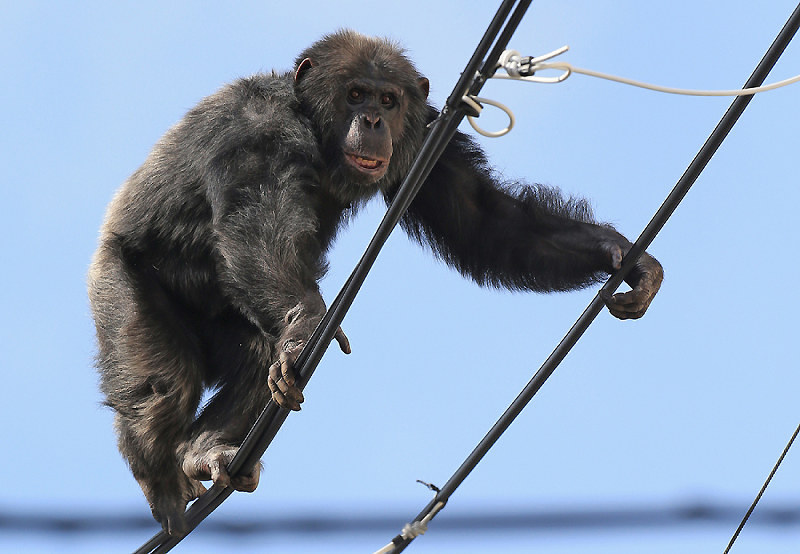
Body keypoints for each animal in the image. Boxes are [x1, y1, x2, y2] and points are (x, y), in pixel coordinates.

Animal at [89, 29, 662, 535]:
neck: (312, 125)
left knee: (253, 356)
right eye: (355, 94)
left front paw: (622, 256)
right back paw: (164, 482)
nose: (372, 118)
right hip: (119, 284)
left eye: (389, 98)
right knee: (162, 385)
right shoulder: (257, 131)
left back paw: (202, 451)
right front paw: (305, 327)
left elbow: (483, 220)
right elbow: (256, 223)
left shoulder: (425, 133)